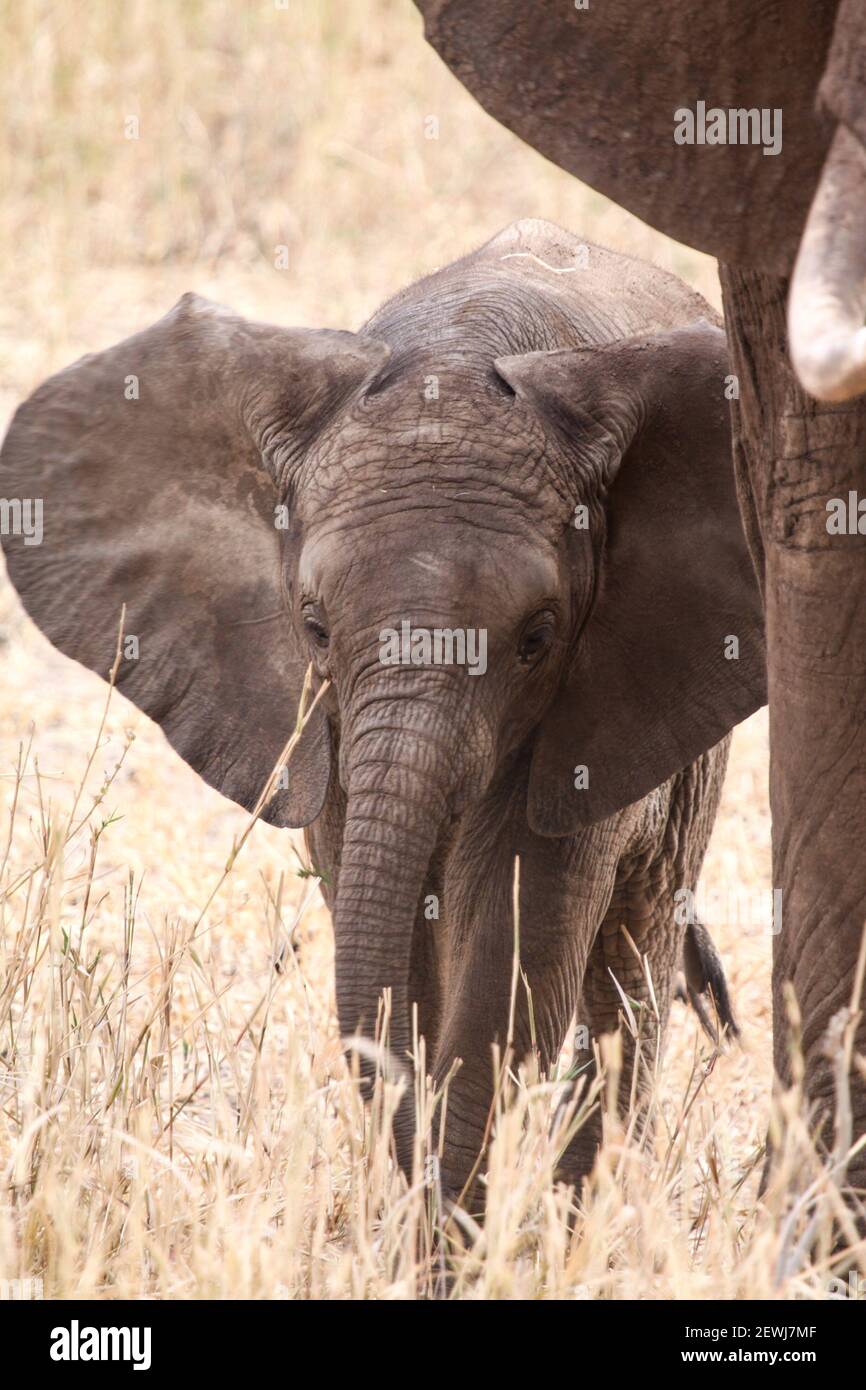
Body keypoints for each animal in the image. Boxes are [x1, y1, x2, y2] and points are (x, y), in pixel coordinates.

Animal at [0, 220, 764, 1200]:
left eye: (539, 637)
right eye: (314, 626)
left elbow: (516, 937)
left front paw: (458, 1219)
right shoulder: (321, 726)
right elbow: (393, 938)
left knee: (631, 961)